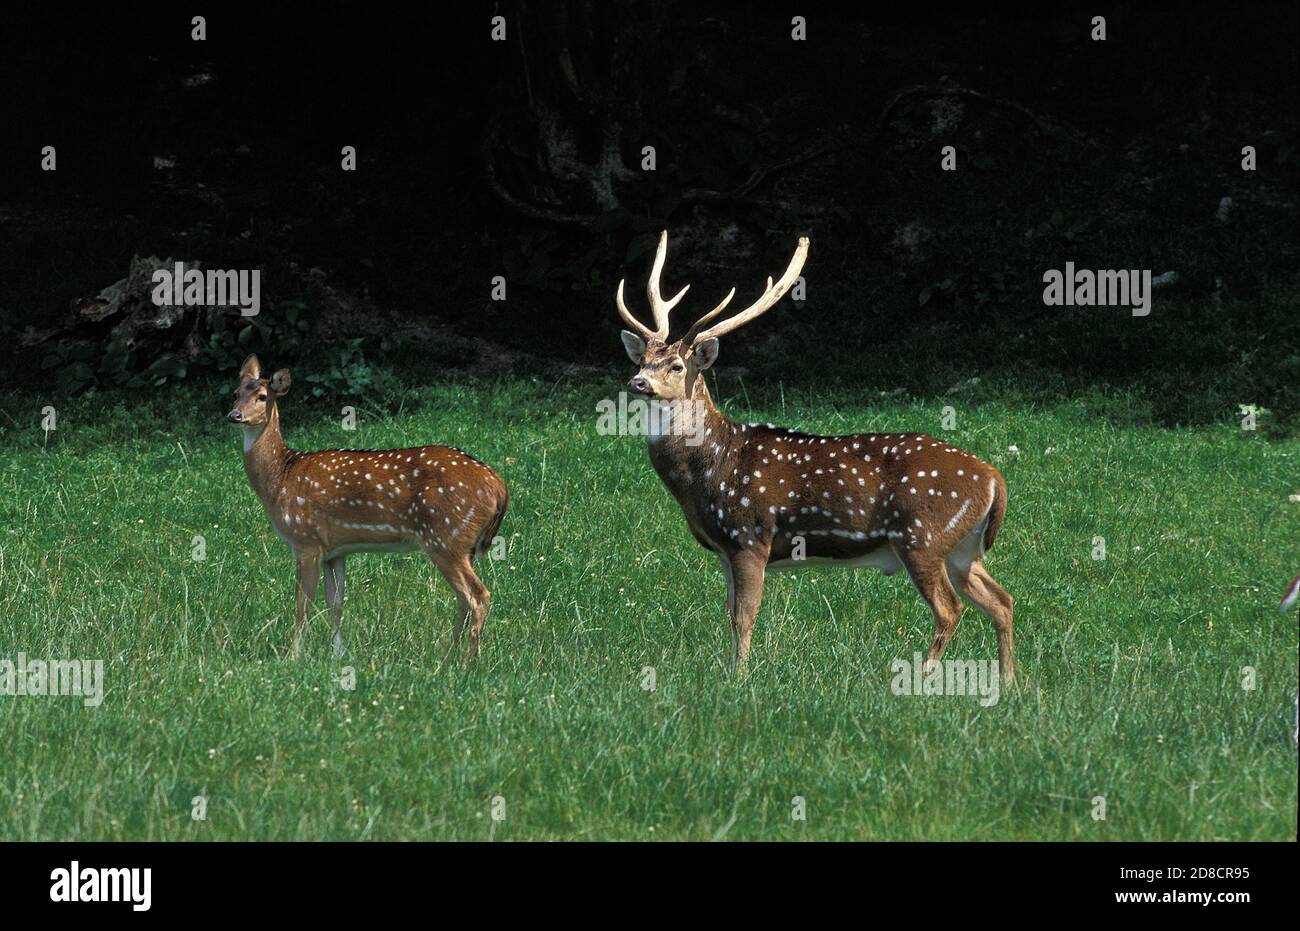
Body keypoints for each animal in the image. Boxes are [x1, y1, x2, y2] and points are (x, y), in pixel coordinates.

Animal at [227, 354, 508, 661]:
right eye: (236, 393)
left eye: (263, 397)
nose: (234, 416)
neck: (281, 476)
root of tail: (498, 485)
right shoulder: (334, 551)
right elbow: (335, 603)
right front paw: (338, 654)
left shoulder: (305, 541)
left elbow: (302, 606)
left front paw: (293, 657)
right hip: (461, 543)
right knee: (463, 598)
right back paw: (447, 658)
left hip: (446, 536)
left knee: (477, 596)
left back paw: (467, 663)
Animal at [615, 231, 1015, 682]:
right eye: (643, 359)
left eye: (677, 366)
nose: (637, 382)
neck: (711, 470)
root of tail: (993, 479)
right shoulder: (724, 549)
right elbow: (729, 614)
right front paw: (731, 671)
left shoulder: (751, 534)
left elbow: (745, 616)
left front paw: (740, 678)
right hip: (962, 546)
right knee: (1002, 600)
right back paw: (1009, 682)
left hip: (922, 534)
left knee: (950, 609)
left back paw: (922, 677)